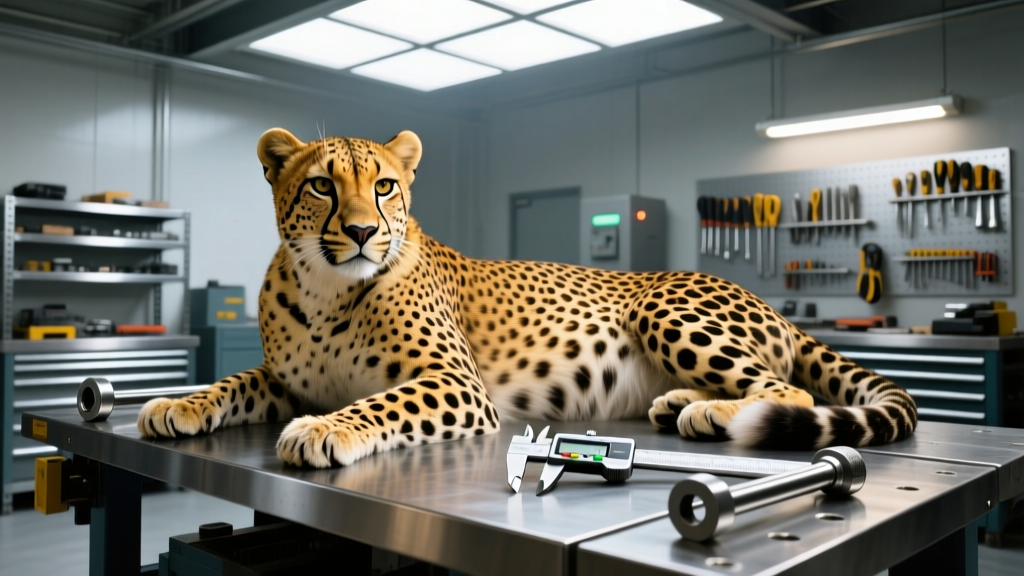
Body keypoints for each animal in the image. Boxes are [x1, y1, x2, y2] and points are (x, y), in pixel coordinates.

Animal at [137, 127, 917, 468]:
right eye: (323, 185)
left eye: (384, 185)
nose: (361, 232)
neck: (329, 289)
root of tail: (773, 303)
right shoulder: (285, 380)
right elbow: (234, 382)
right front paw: (179, 402)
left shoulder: (456, 384)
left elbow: (378, 404)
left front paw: (327, 429)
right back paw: (678, 405)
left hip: (662, 309)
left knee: (791, 392)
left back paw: (709, 413)